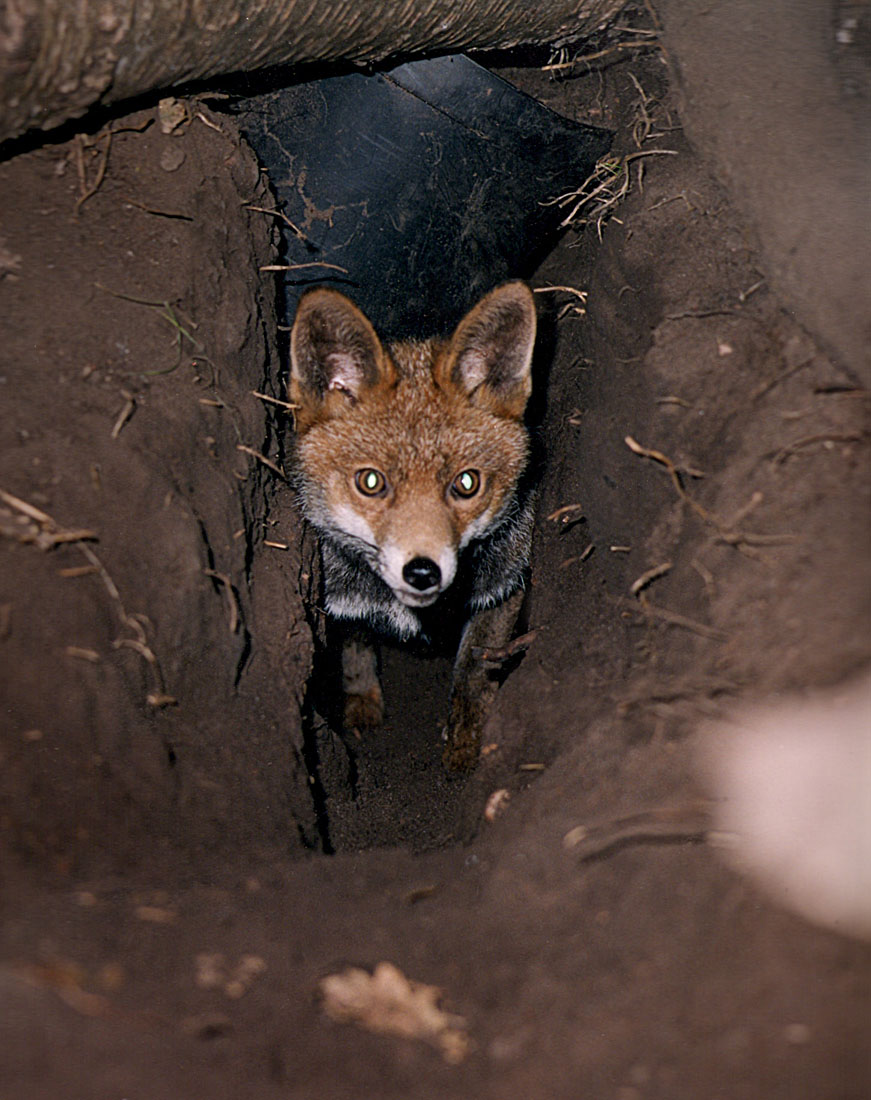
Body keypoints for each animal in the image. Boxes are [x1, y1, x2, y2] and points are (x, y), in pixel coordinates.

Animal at [288, 281, 537, 771]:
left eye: (466, 483)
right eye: (371, 482)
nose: (423, 572)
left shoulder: (504, 583)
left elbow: (474, 672)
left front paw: (465, 743)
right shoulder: (339, 601)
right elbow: (354, 648)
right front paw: (360, 701)